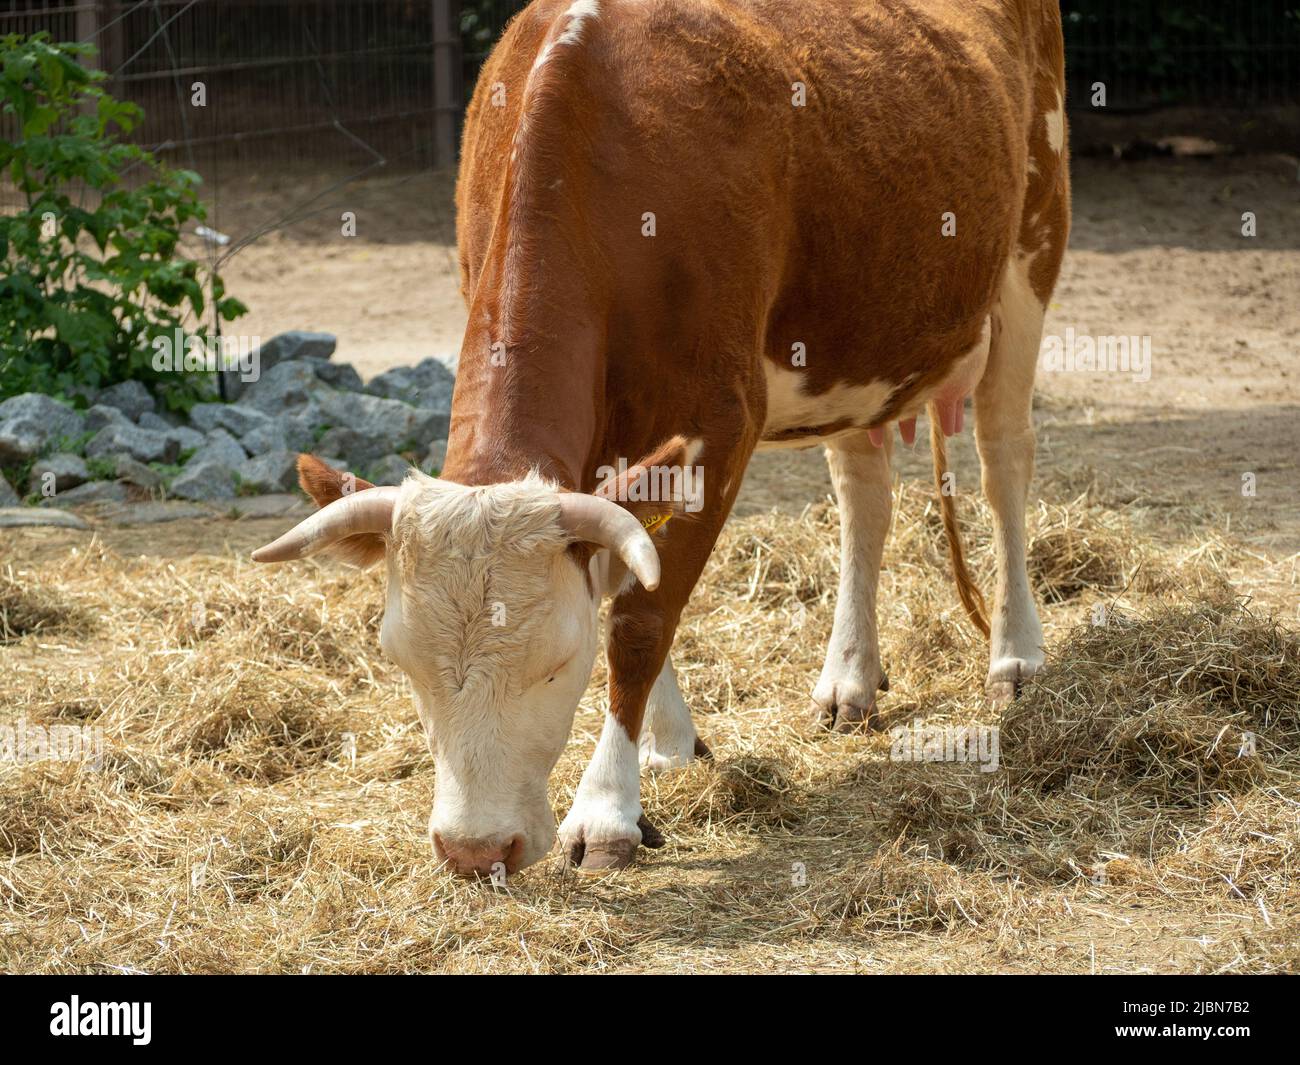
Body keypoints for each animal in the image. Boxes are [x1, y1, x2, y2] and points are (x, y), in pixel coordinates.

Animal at [253, 0, 1070, 877]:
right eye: (401, 660)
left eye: (558, 663)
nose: (475, 850)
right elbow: (633, 563)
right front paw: (668, 744)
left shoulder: (721, 419)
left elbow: (642, 621)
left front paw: (608, 807)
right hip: (859, 338)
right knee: (864, 496)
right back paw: (850, 676)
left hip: (1030, 256)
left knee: (1003, 461)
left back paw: (1016, 654)